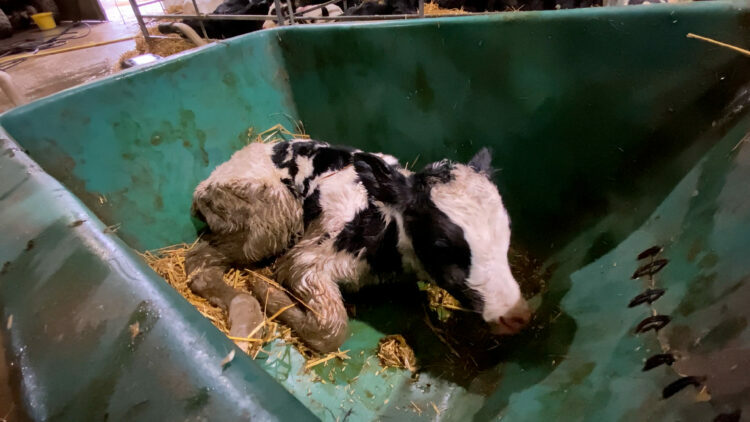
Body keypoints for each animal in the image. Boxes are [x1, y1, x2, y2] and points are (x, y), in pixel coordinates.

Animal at [185, 139, 531, 353]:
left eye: (506, 233)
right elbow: (332, 330)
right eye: (441, 243)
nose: (517, 316)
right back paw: (247, 314)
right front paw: (266, 289)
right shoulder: (304, 261)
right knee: (198, 262)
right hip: (270, 214)